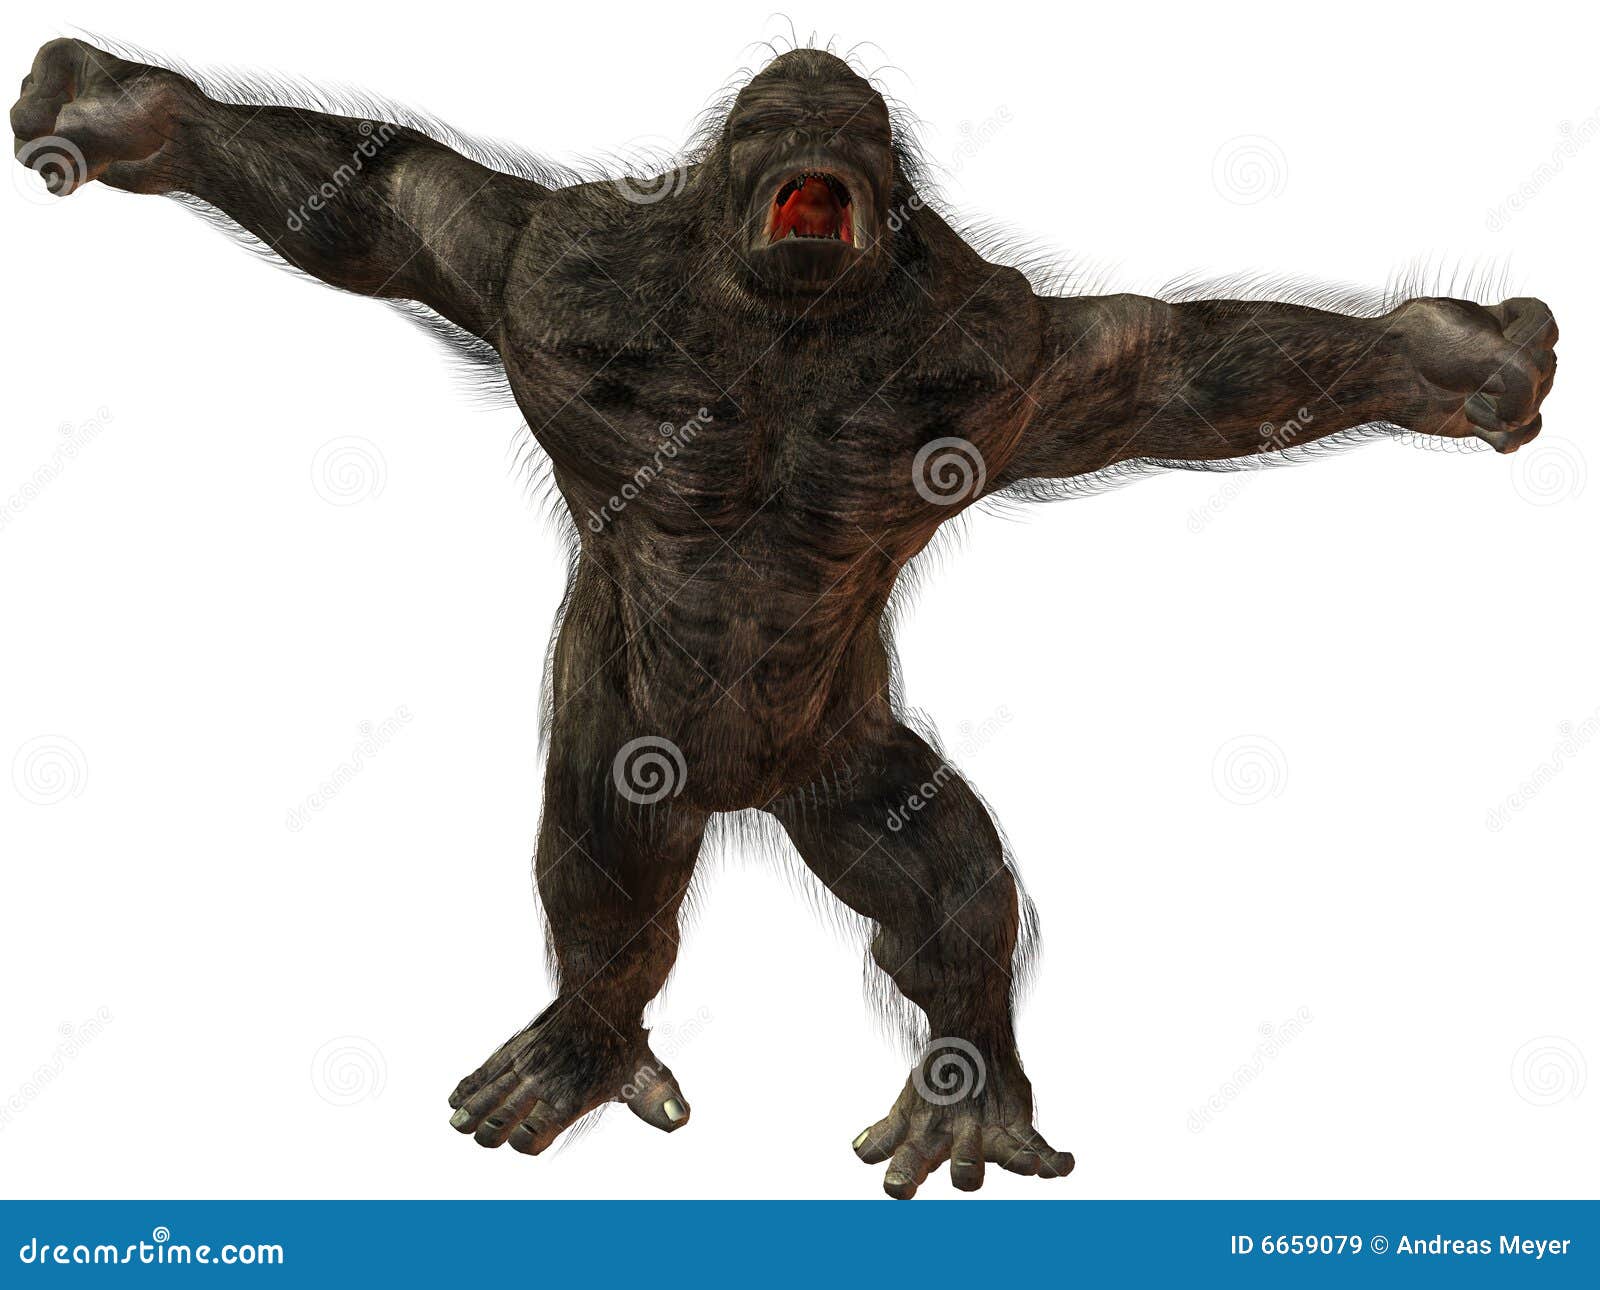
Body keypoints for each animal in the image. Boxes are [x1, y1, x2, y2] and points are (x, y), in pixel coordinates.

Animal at [11, 37, 1558, 1200]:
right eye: (767, 120)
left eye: (853, 125)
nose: (819, 88)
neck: (783, 326)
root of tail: (750, 797)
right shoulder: (547, 272)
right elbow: (390, 207)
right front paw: (130, 108)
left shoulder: (1012, 361)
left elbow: (1196, 369)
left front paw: (1447, 358)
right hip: (637, 747)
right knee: (607, 865)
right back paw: (584, 1038)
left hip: (847, 757)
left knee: (947, 876)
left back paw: (967, 1074)